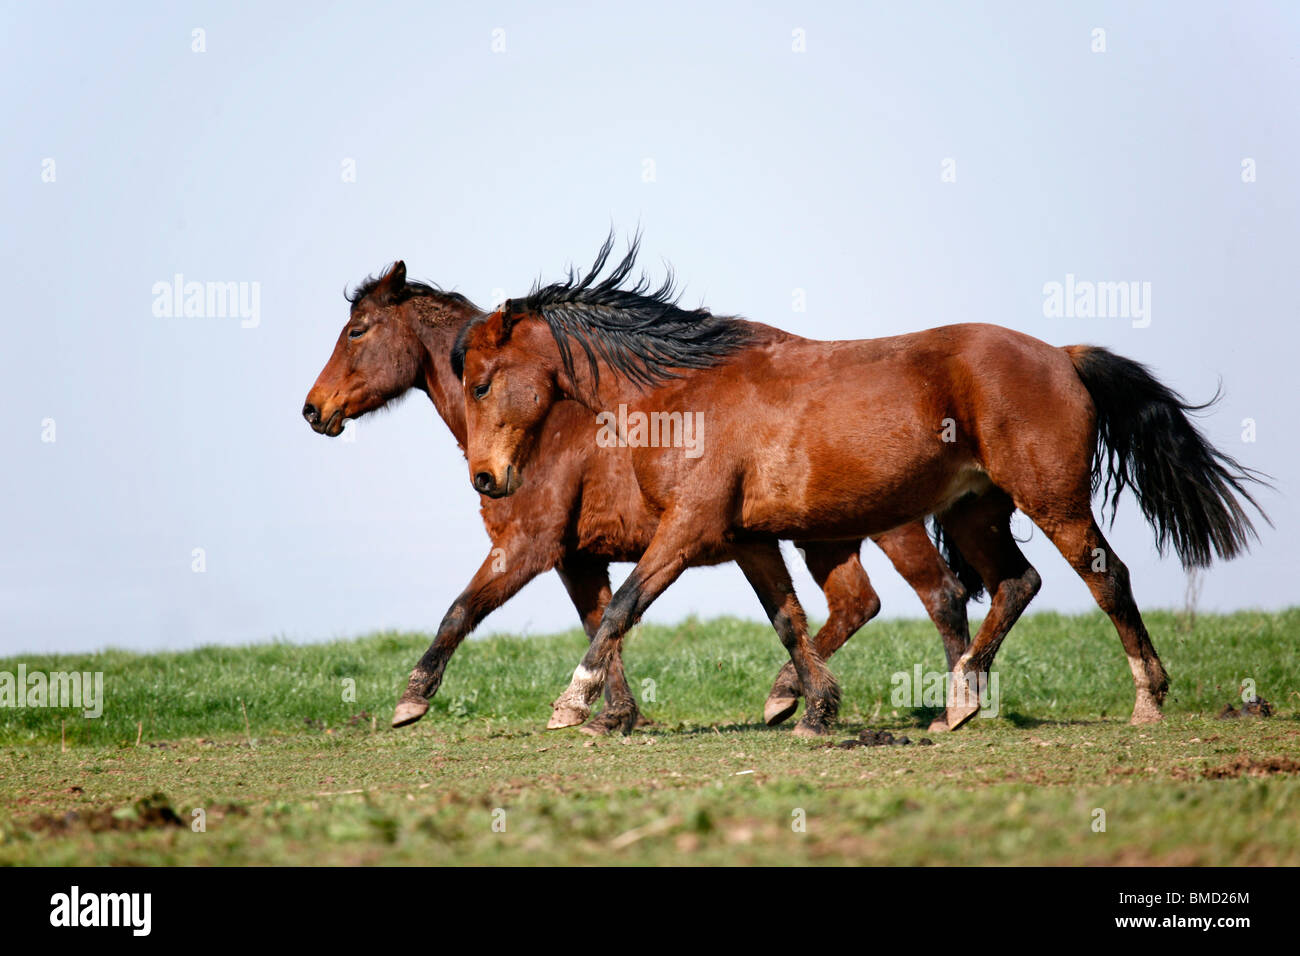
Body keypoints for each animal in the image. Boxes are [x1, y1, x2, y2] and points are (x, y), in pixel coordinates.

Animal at [302, 261, 978, 734]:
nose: (313, 409)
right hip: (824, 540)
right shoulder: (578, 559)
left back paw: (952, 703)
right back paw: (792, 698)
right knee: (856, 604)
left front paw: (412, 700)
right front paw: (613, 715)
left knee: (940, 595)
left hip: (888, 526)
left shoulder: (531, 546)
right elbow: (604, 620)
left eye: (357, 331)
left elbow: (463, 611)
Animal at [455, 236, 1269, 736]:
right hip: (974, 512)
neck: (679, 394)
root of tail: (1062, 355)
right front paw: (809, 706)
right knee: (1015, 583)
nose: (487, 479)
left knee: (1107, 579)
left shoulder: (687, 530)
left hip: (1054, 501)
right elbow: (788, 619)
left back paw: (1146, 699)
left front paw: (570, 703)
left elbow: (622, 607)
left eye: (483, 382)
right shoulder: (747, 538)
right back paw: (960, 700)